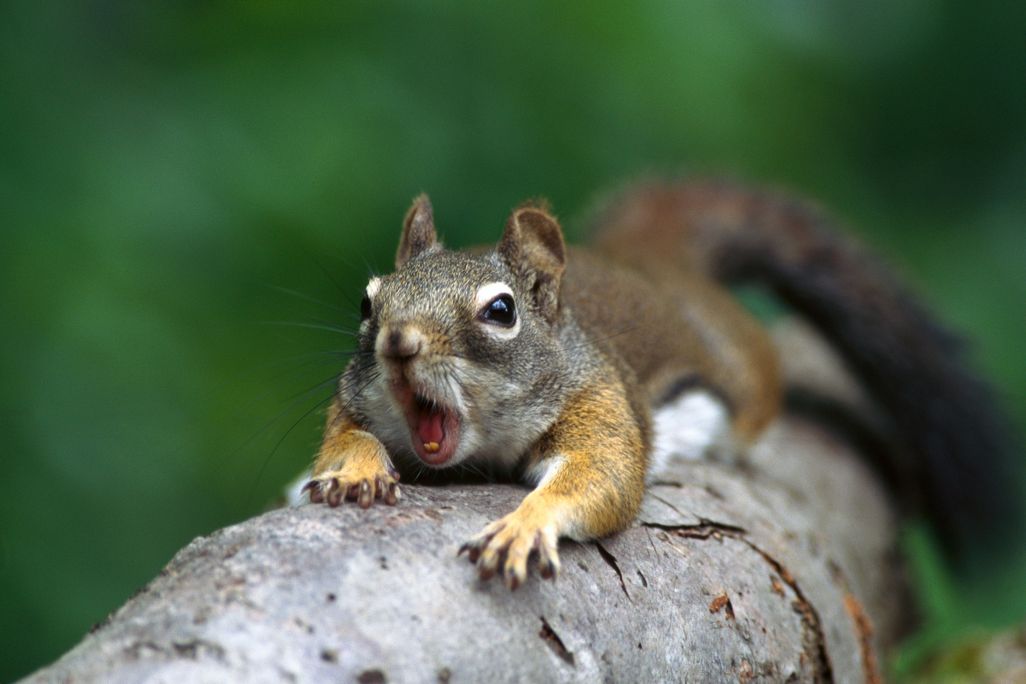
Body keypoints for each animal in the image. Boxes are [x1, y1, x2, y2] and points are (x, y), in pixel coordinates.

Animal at [301, 179, 1020, 588]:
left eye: (500, 311)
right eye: (368, 303)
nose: (398, 344)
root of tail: (649, 262)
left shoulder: (601, 399)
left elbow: (603, 477)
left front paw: (524, 525)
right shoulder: (352, 402)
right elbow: (344, 439)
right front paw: (356, 471)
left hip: (745, 375)